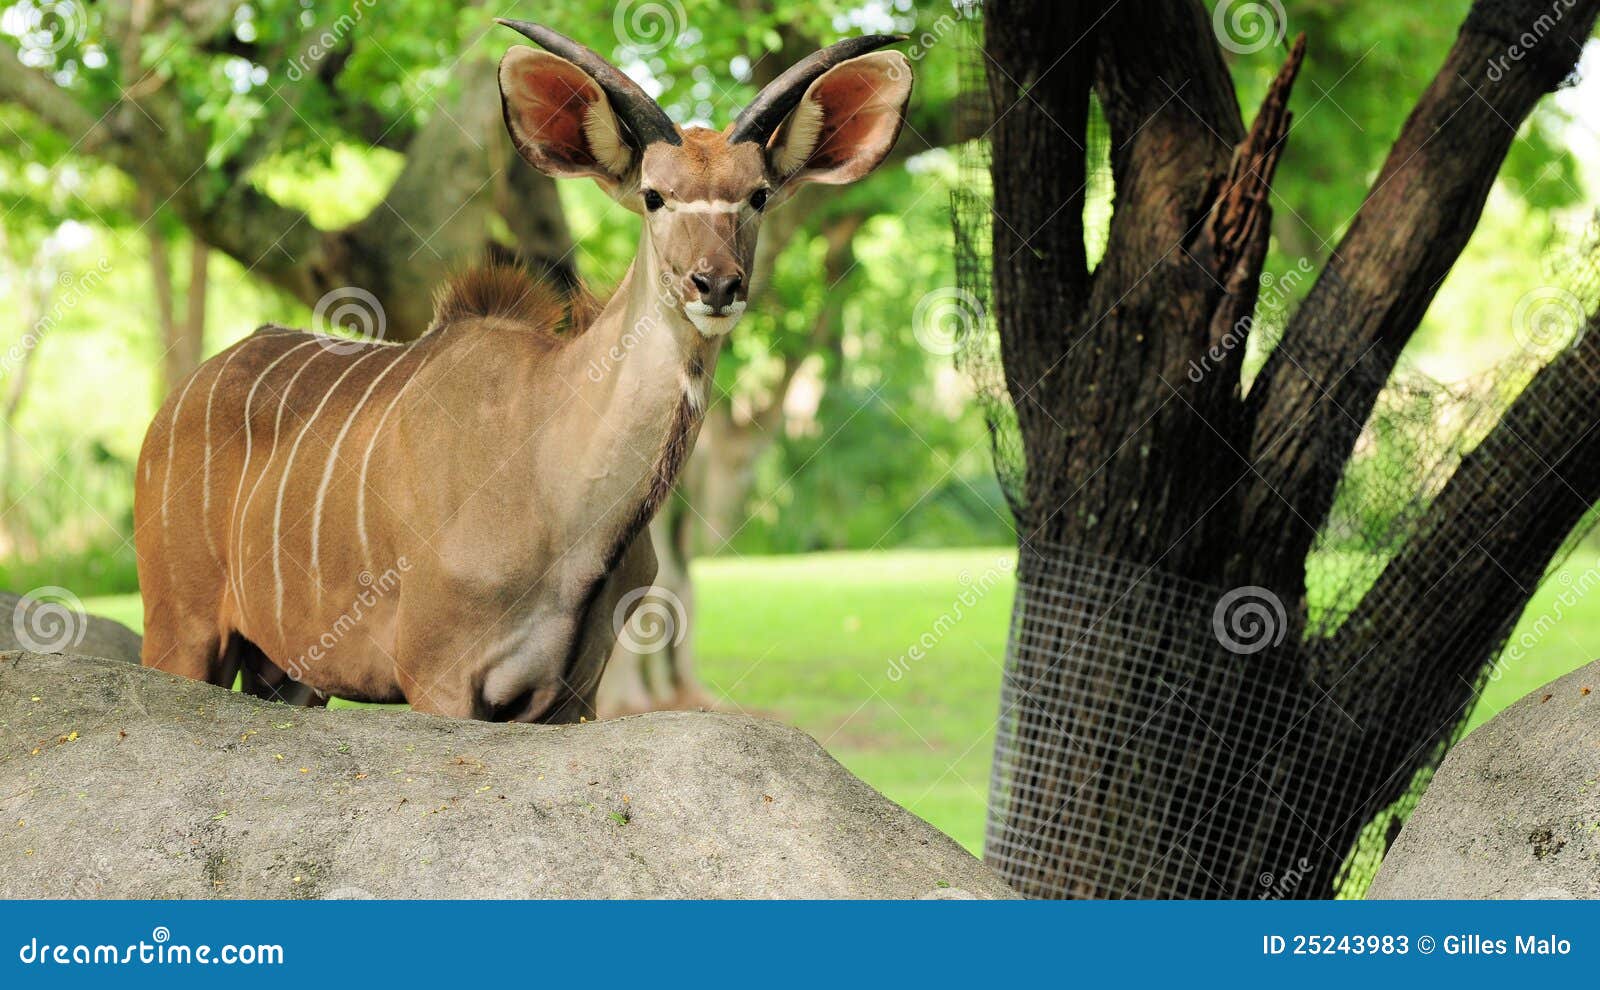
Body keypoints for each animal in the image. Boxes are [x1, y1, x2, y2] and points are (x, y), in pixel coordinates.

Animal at [133, 21, 913, 722]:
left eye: (757, 195)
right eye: (653, 195)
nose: (715, 285)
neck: (551, 480)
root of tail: (174, 403)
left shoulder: (574, 696)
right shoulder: (438, 679)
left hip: (289, 673)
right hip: (183, 633)